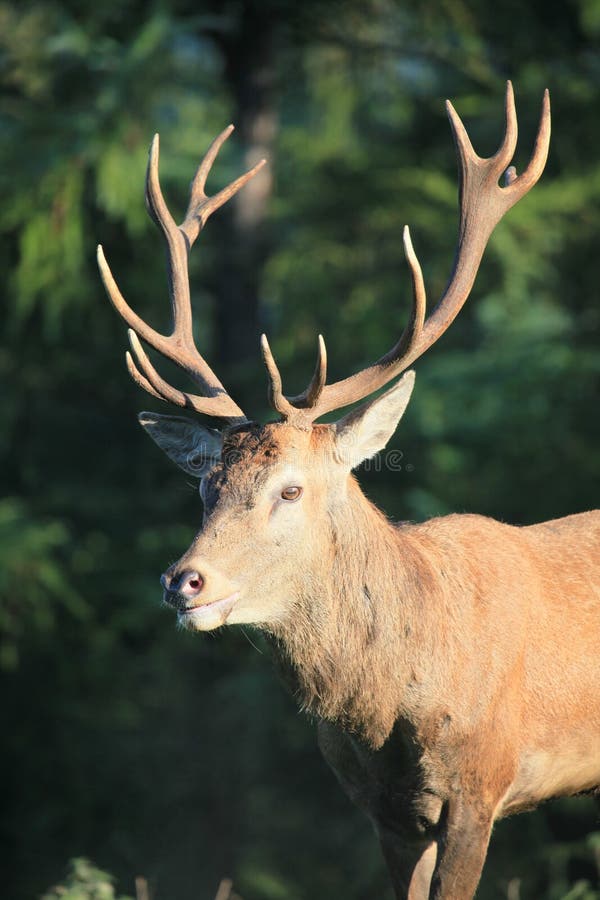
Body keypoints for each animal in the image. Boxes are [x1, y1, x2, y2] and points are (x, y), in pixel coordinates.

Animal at [97, 82, 600, 899]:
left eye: (291, 490)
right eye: (206, 484)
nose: (182, 581)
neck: (393, 707)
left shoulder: (482, 784)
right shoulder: (383, 811)